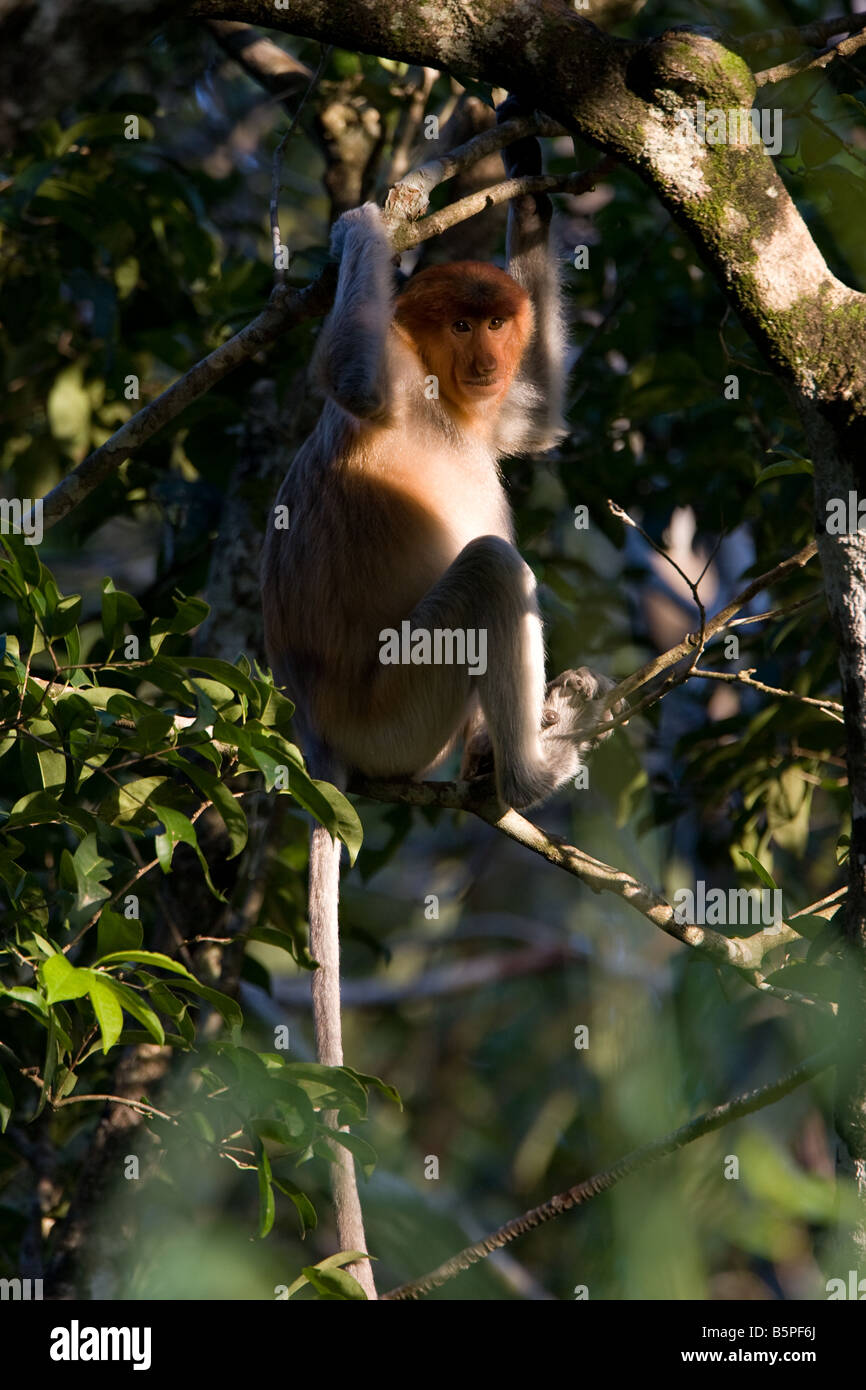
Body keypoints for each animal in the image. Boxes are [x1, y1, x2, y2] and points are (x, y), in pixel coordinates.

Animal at [261, 102, 618, 1299]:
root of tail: (315, 728)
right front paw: (367, 229)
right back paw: (532, 771)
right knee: (491, 570)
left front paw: (530, 160)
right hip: (393, 705)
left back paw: (517, 747)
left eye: (499, 321)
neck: (448, 397)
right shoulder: (401, 379)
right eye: (461, 320)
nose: (485, 355)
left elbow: (533, 423)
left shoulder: (493, 406)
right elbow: (354, 378)